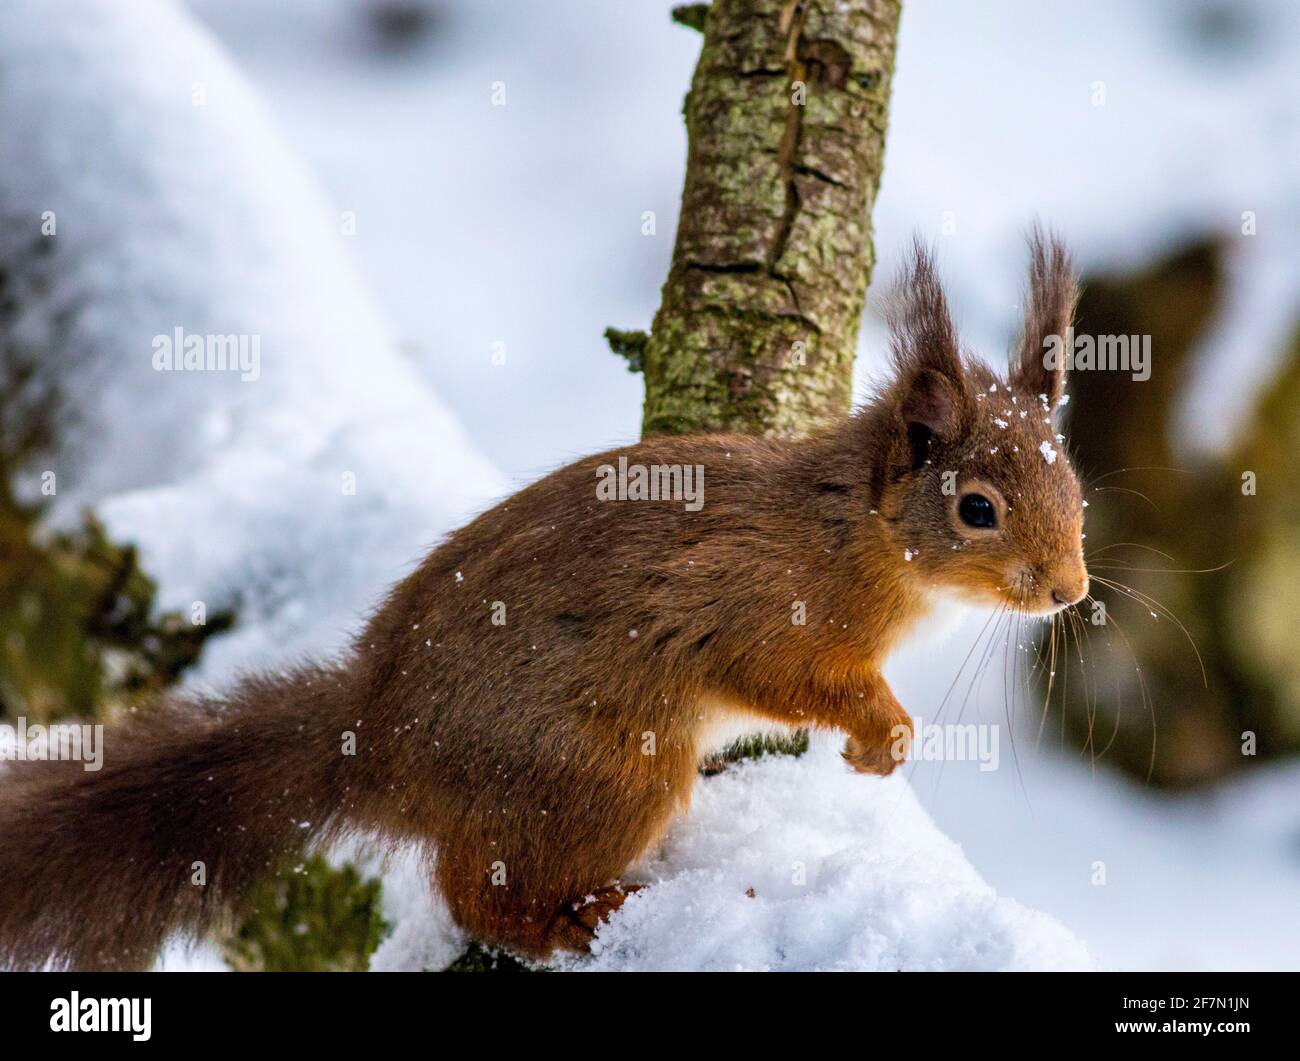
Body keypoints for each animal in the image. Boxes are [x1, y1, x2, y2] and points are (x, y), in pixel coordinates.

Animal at [0, 235, 1088, 969]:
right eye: (977, 508)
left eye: (1074, 486)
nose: (1070, 589)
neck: (855, 532)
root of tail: (378, 737)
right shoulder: (757, 606)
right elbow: (784, 677)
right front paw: (881, 733)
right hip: (605, 770)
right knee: (472, 889)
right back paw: (570, 915)